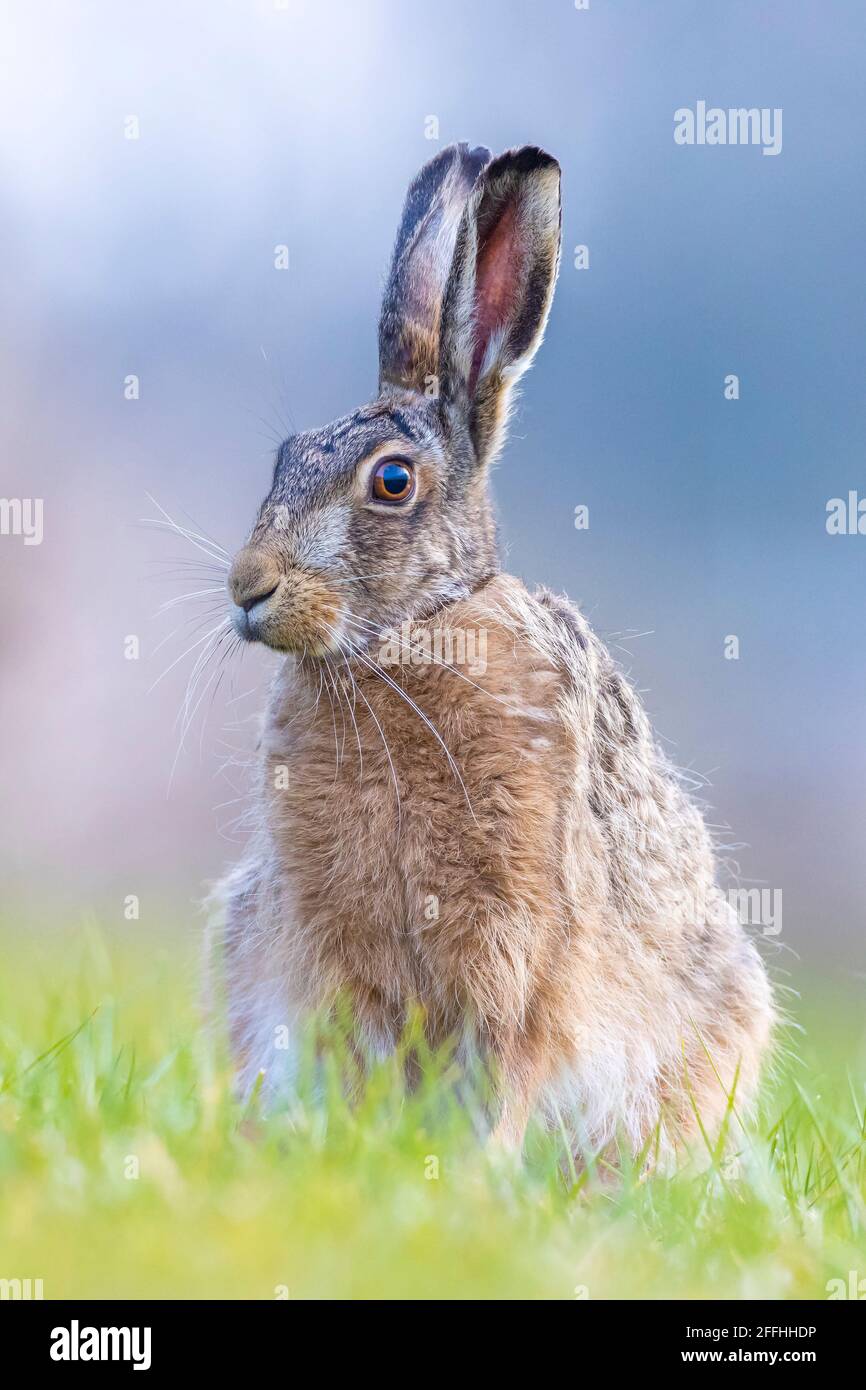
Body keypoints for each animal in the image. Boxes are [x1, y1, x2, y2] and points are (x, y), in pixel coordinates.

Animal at [213, 142, 774, 1163]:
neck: (405, 641)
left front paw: (472, 1170)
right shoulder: (332, 954)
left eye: (393, 482)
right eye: (283, 460)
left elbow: (509, 1060)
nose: (248, 588)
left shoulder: (522, 945)